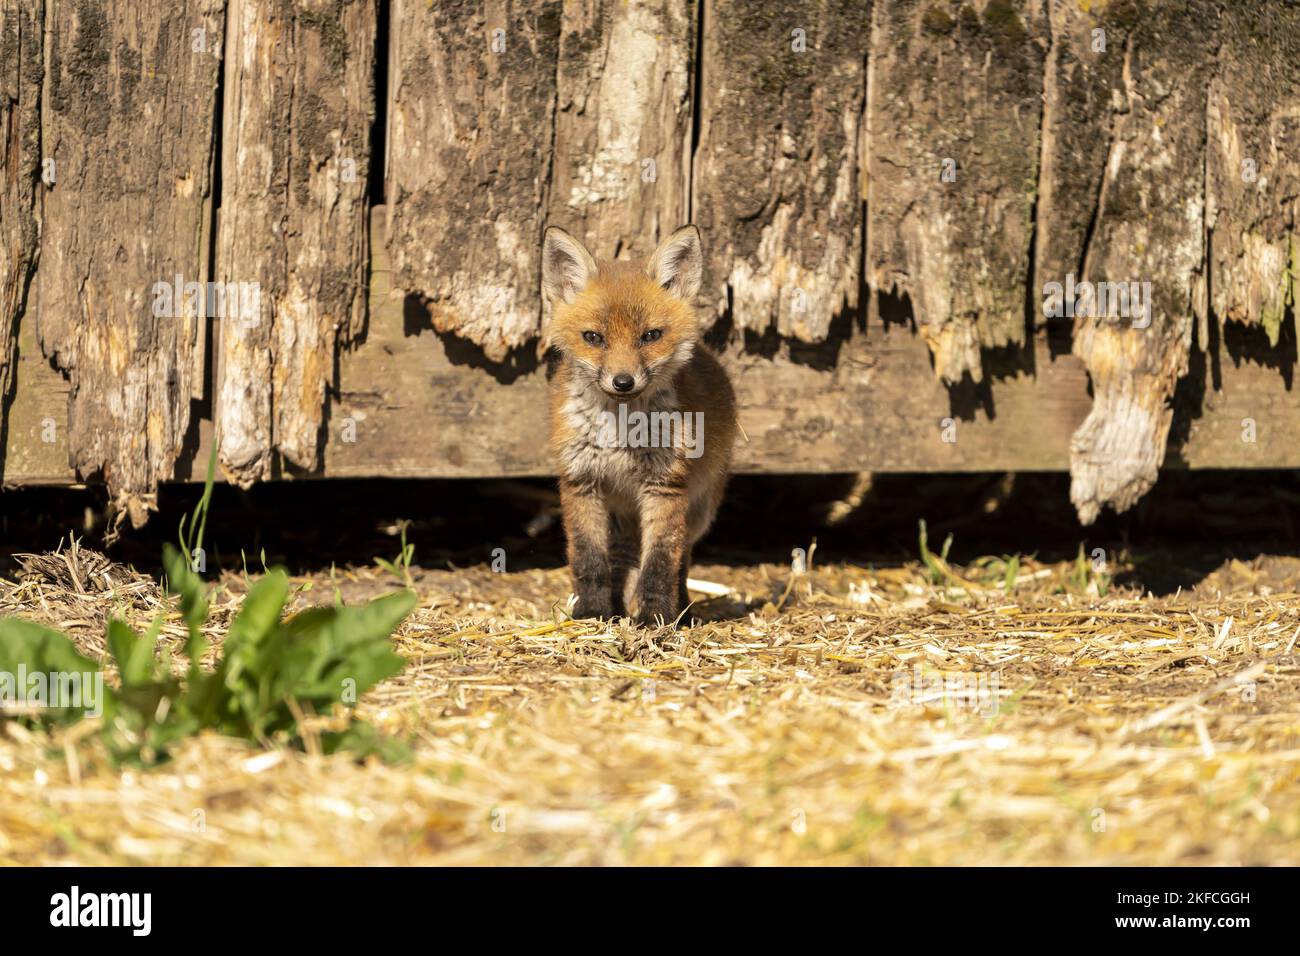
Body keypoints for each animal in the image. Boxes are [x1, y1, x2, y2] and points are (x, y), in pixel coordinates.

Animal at [541, 224, 737, 628]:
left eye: (650, 336)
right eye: (593, 338)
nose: (623, 382)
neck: (620, 434)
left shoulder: (665, 486)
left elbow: (660, 563)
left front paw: (654, 616)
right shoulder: (581, 481)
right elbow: (589, 560)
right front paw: (592, 612)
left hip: (698, 511)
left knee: (681, 559)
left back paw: (682, 608)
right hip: (620, 514)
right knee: (621, 558)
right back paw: (616, 607)